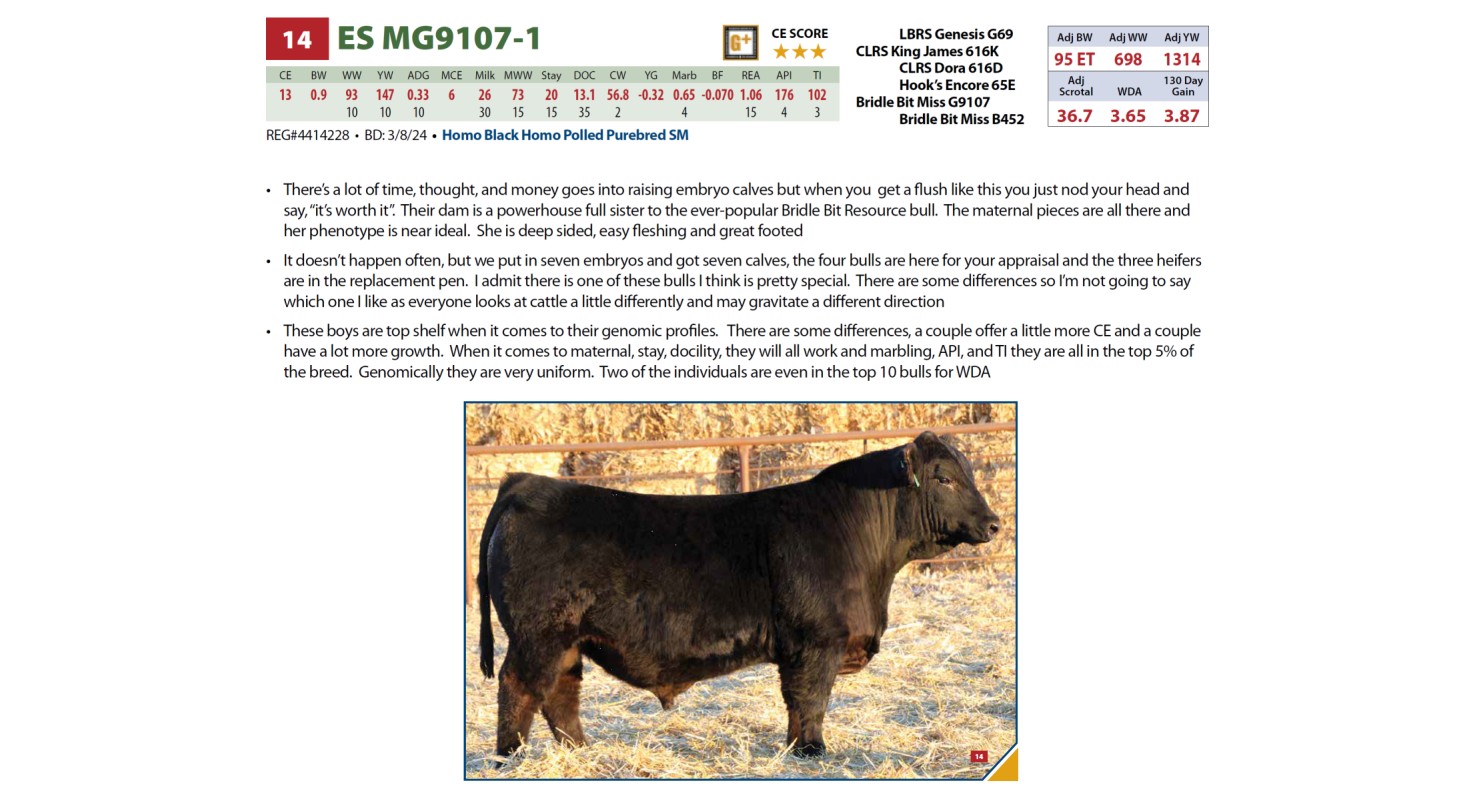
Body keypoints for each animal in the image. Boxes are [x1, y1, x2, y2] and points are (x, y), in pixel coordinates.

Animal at [476, 431, 1001, 759]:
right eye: (944, 478)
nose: (995, 523)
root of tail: (527, 483)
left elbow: (799, 704)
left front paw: (797, 750)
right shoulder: (816, 642)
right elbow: (810, 700)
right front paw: (812, 752)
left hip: (568, 641)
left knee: (560, 695)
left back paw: (581, 753)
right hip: (539, 634)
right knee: (519, 687)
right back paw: (512, 757)